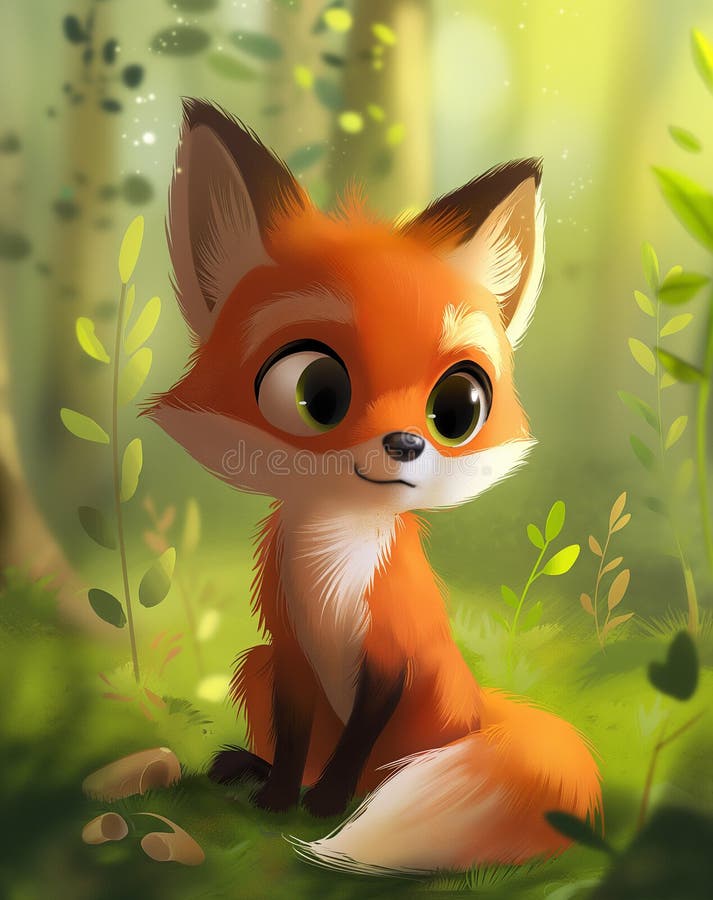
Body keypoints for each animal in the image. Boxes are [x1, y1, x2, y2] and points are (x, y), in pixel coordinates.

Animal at [147, 98, 602, 876]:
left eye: (458, 407)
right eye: (317, 392)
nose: (405, 444)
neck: (333, 567)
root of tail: (484, 708)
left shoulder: (393, 656)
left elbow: (358, 740)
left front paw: (325, 805)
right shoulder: (290, 651)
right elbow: (296, 736)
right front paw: (279, 799)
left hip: (424, 710)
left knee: (384, 770)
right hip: (254, 664)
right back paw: (253, 770)